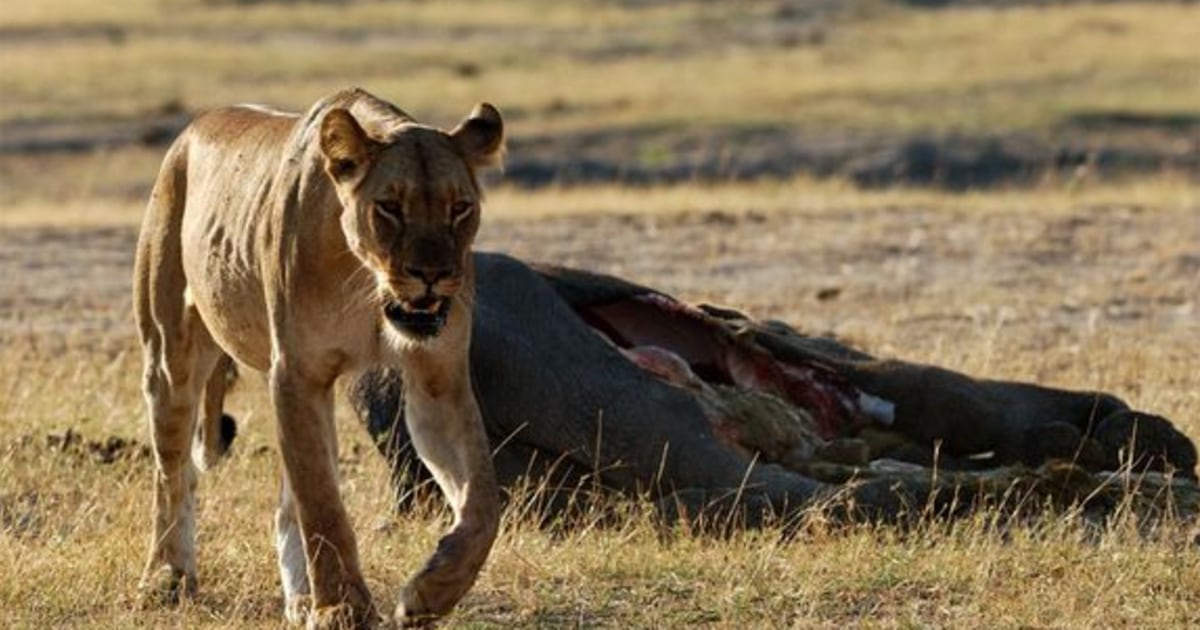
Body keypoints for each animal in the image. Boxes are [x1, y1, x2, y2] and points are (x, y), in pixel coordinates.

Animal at [132, 87, 505, 628]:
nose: (432, 275)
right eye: (389, 207)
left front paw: (431, 591)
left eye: (460, 208)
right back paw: (167, 578)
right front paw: (343, 608)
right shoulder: (297, 373)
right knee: (174, 473)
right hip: (170, 354)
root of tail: (190, 131)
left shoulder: (438, 377)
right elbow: (323, 504)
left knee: (285, 501)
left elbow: (483, 503)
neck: (367, 284)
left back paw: (301, 598)